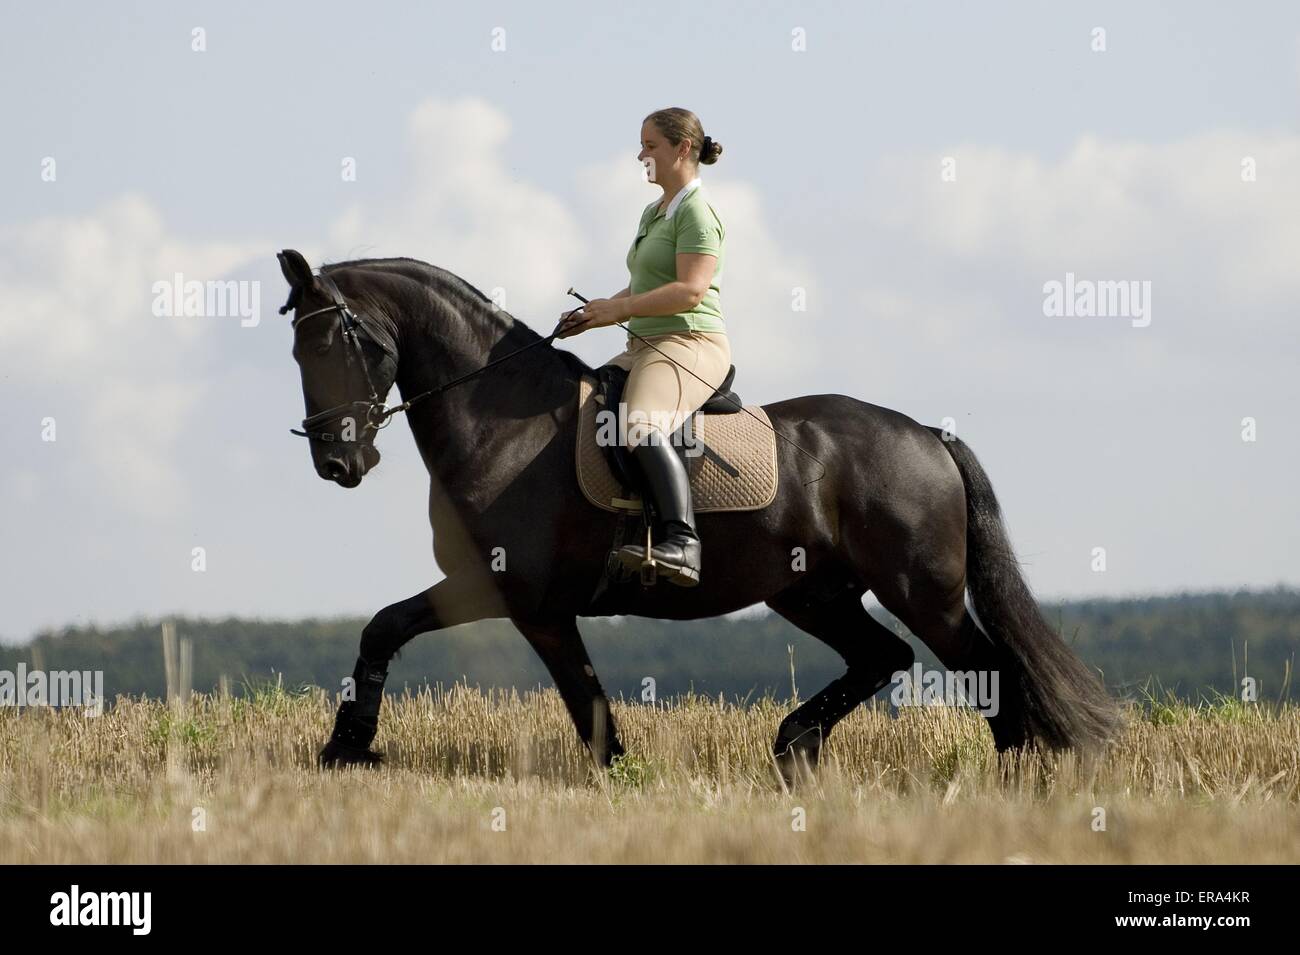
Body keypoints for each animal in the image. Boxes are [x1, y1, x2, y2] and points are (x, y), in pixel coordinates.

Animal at [276, 248, 1121, 786]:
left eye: (330, 342)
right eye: (295, 350)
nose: (338, 463)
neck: (500, 419)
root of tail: (925, 433)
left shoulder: (525, 598)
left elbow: (583, 705)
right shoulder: (495, 591)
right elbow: (388, 629)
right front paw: (346, 746)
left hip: (922, 590)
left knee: (986, 669)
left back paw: (1008, 782)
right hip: (811, 592)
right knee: (884, 655)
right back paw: (794, 746)